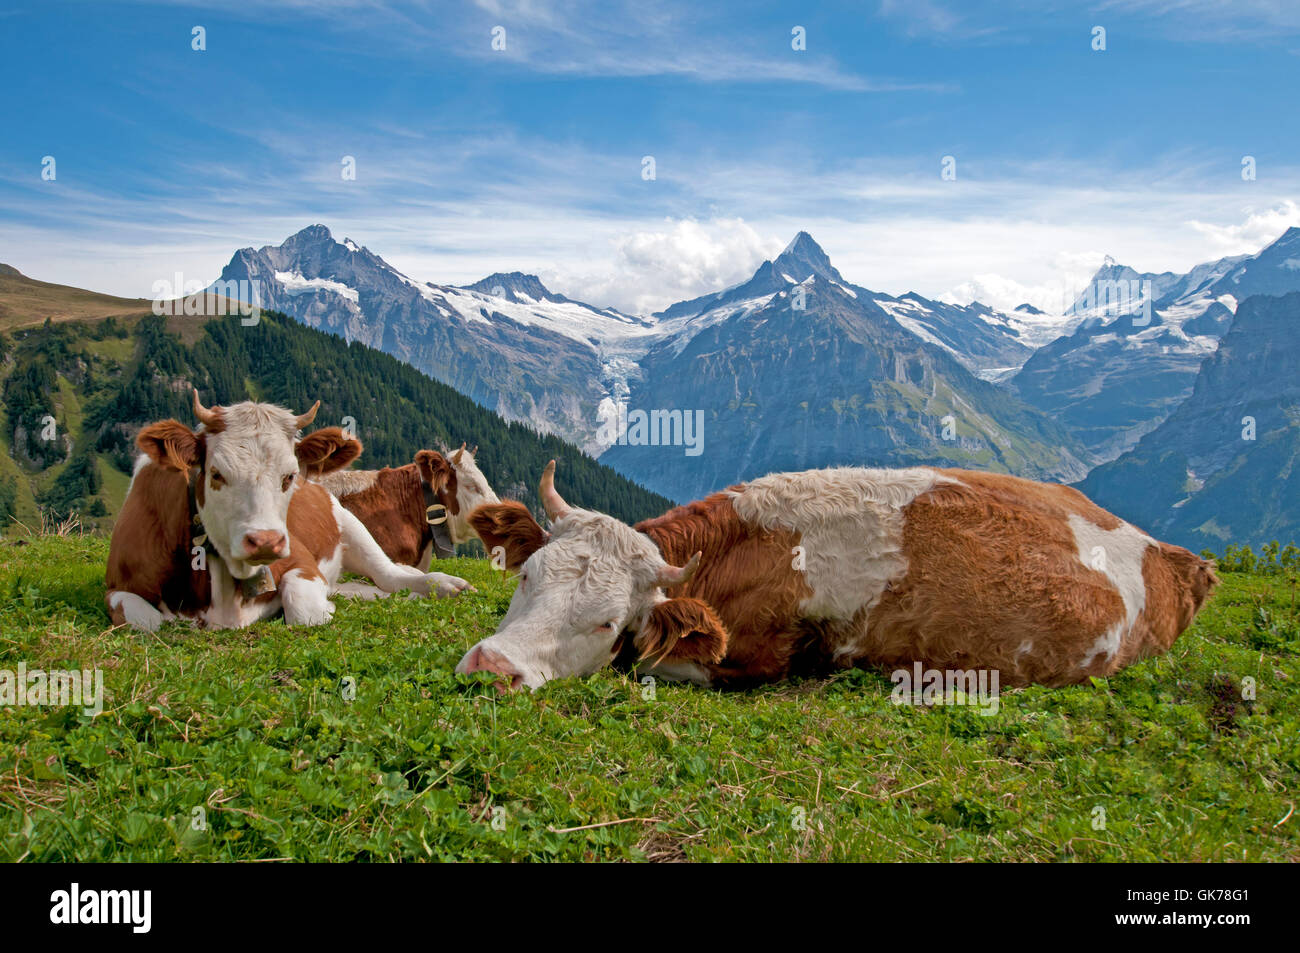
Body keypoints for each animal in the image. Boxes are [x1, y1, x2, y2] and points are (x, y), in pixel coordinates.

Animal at [106, 391, 473, 632]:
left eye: (290, 475)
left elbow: (305, 611)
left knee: (392, 576)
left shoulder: (300, 560)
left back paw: (442, 585)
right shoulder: (117, 587)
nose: (265, 541)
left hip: (350, 526)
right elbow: (150, 622)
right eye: (216, 474)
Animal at [456, 462, 1218, 691]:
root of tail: (1174, 556)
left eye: (608, 621)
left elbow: (646, 660)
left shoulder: (759, 656)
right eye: (527, 578)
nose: (492, 668)